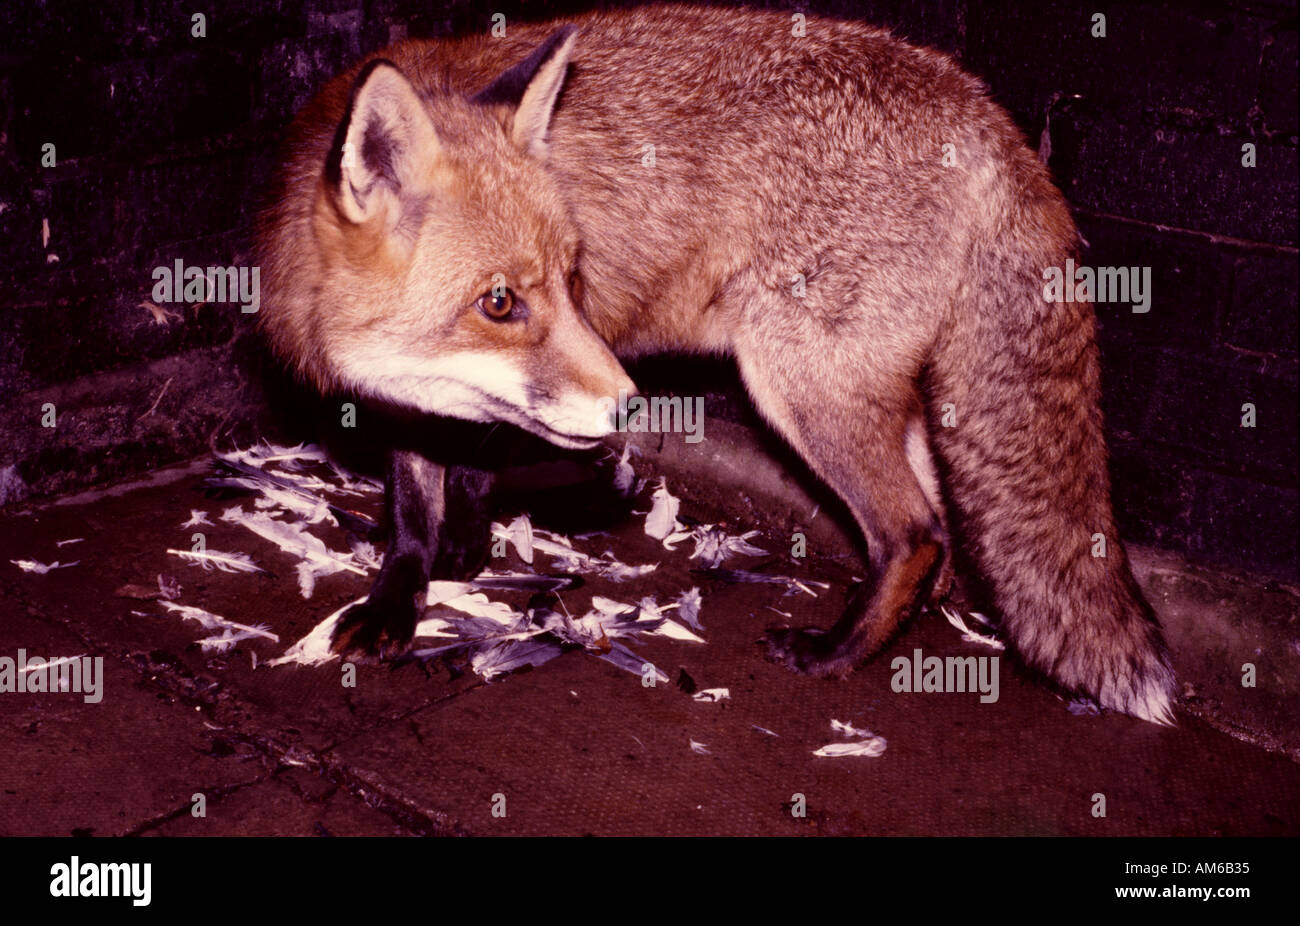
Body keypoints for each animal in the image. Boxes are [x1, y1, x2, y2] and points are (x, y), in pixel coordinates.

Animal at [257, 4, 1176, 724]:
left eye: (573, 278)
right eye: (500, 302)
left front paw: (459, 551)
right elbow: (419, 498)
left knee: (912, 531)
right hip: (870, 388)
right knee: (943, 526)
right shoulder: (408, 398)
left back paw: (834, 653)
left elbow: (477, 461)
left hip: (801, 385)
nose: (630, 407)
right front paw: (406, 593)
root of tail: (983, 108)